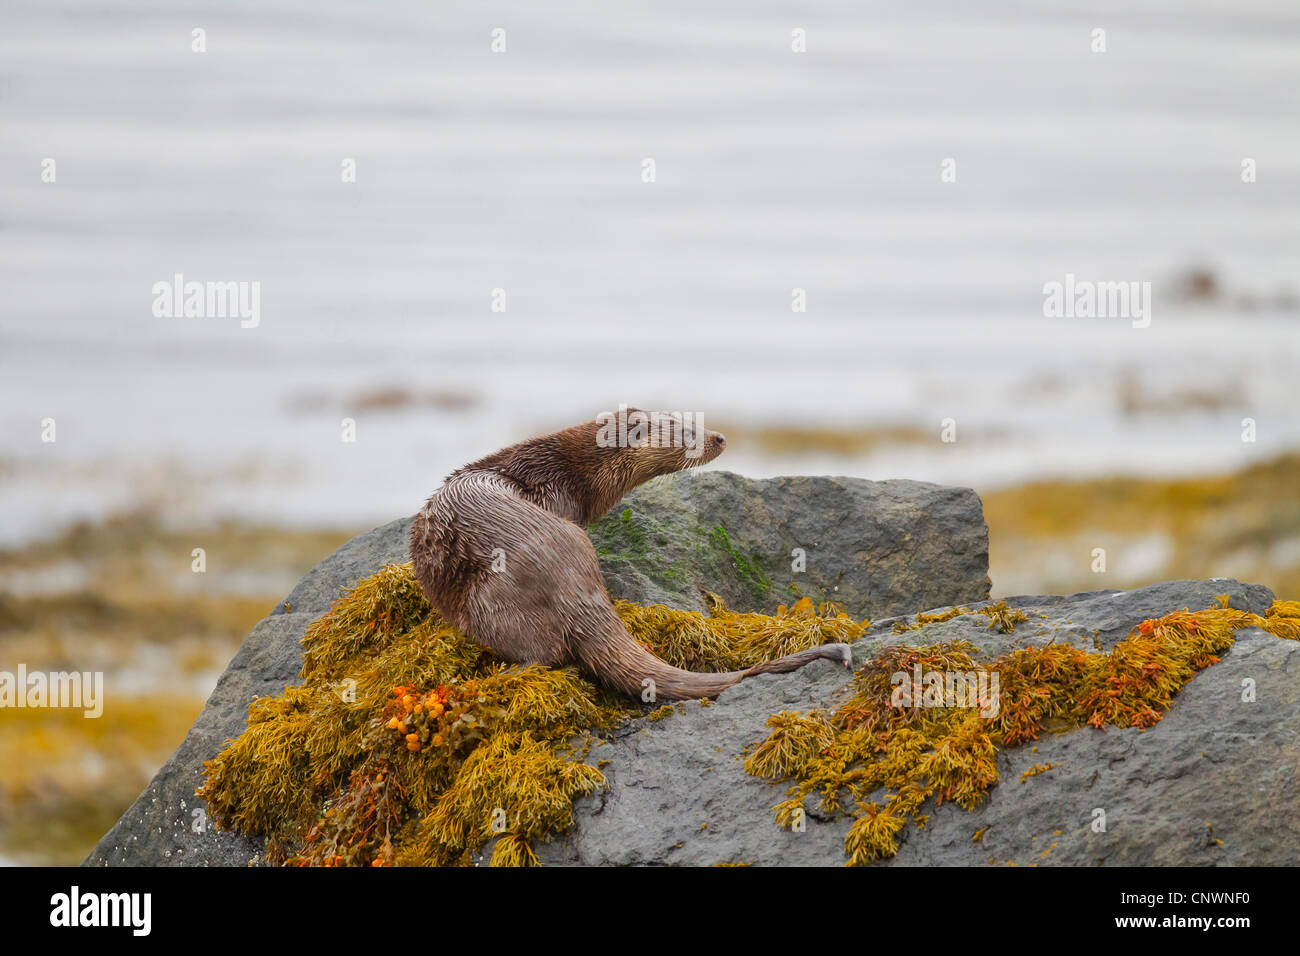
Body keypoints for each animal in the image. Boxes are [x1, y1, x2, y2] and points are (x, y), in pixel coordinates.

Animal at [410, 409, 852, 700]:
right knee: (544, 653)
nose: (721, 437)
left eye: (697, 422)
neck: (566, 472)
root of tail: (567, 584)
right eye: (689, 432)